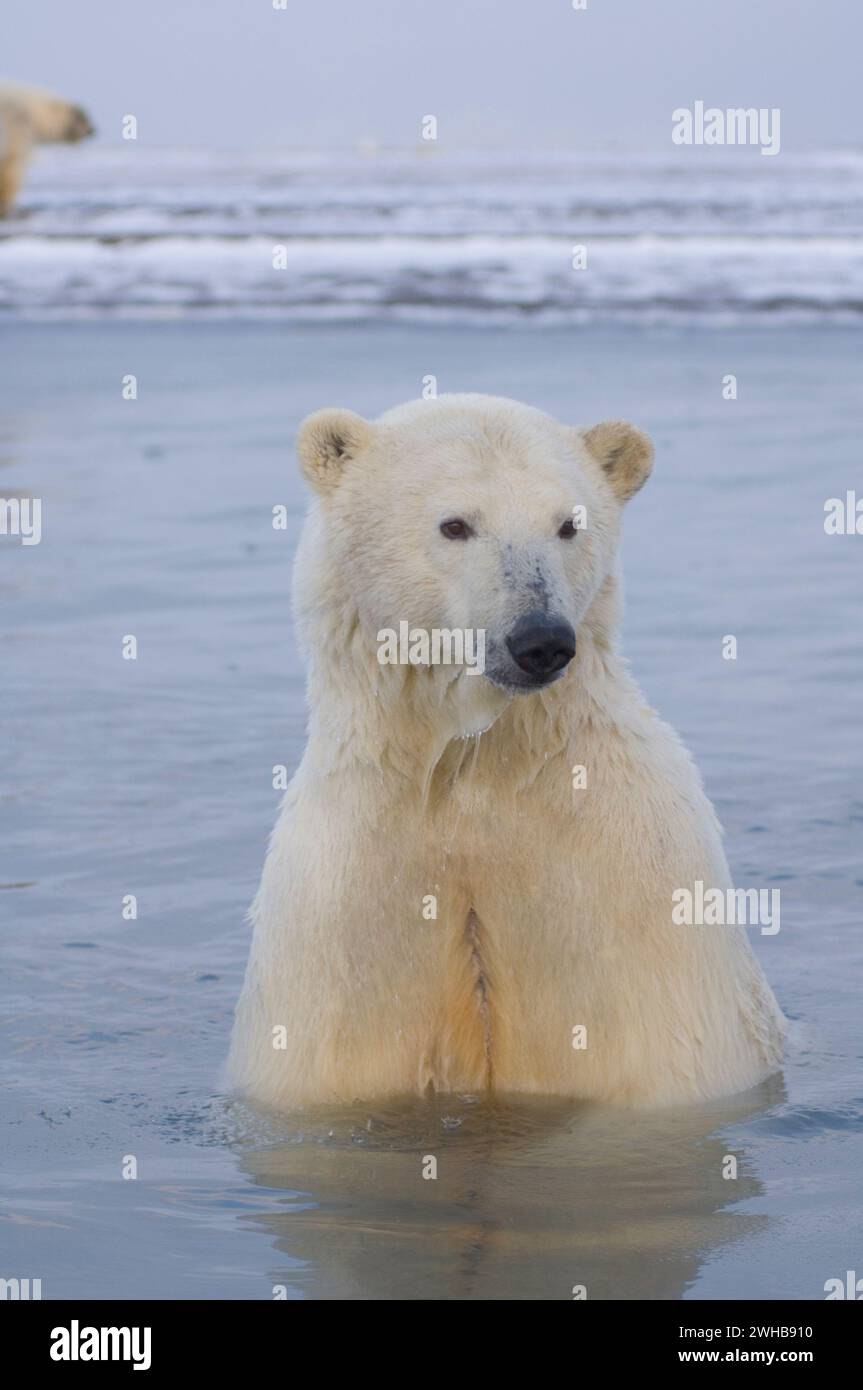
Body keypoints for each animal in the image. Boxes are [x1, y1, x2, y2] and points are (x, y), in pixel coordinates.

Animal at [228, 393, 785, 1110]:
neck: (476, 758)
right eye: (455, 524)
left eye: (568, 525)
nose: (539, 639)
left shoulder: (634, 892)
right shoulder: (344, 912)